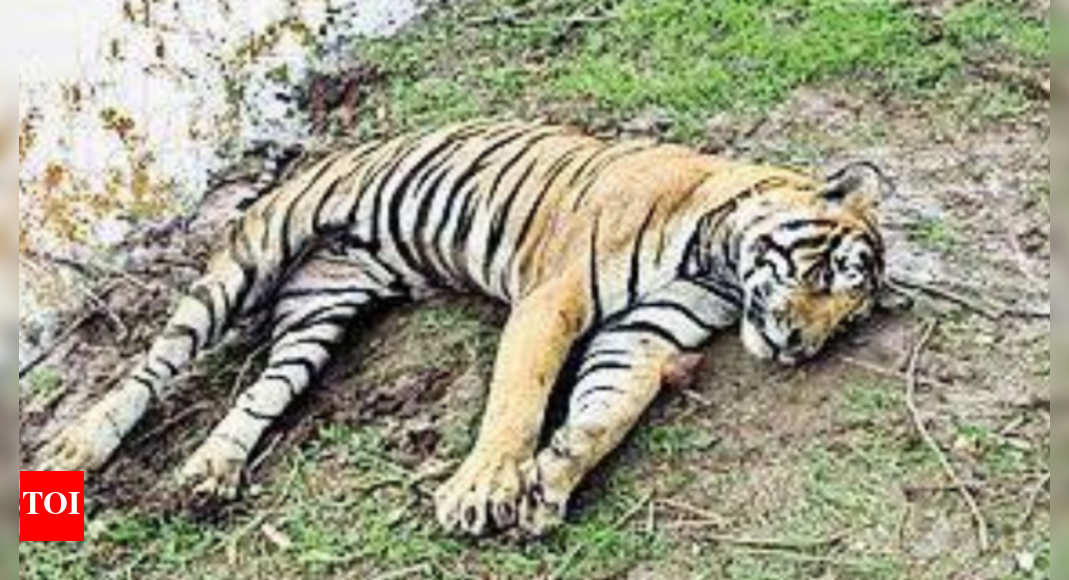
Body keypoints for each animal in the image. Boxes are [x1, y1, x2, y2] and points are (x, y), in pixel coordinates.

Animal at [38, 119, 889, 537]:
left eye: (847, 322)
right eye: (824, 275)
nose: (799, 348)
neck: (714, 259)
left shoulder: (645, 335)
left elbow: (606, 413)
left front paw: (550, 481)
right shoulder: (552, 298)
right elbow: (519, 396)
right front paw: (484, 489)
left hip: (318, 315)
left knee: (259, 395)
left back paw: (209, 475)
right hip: (253, 255)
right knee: (156, 360)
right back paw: (78, 443)